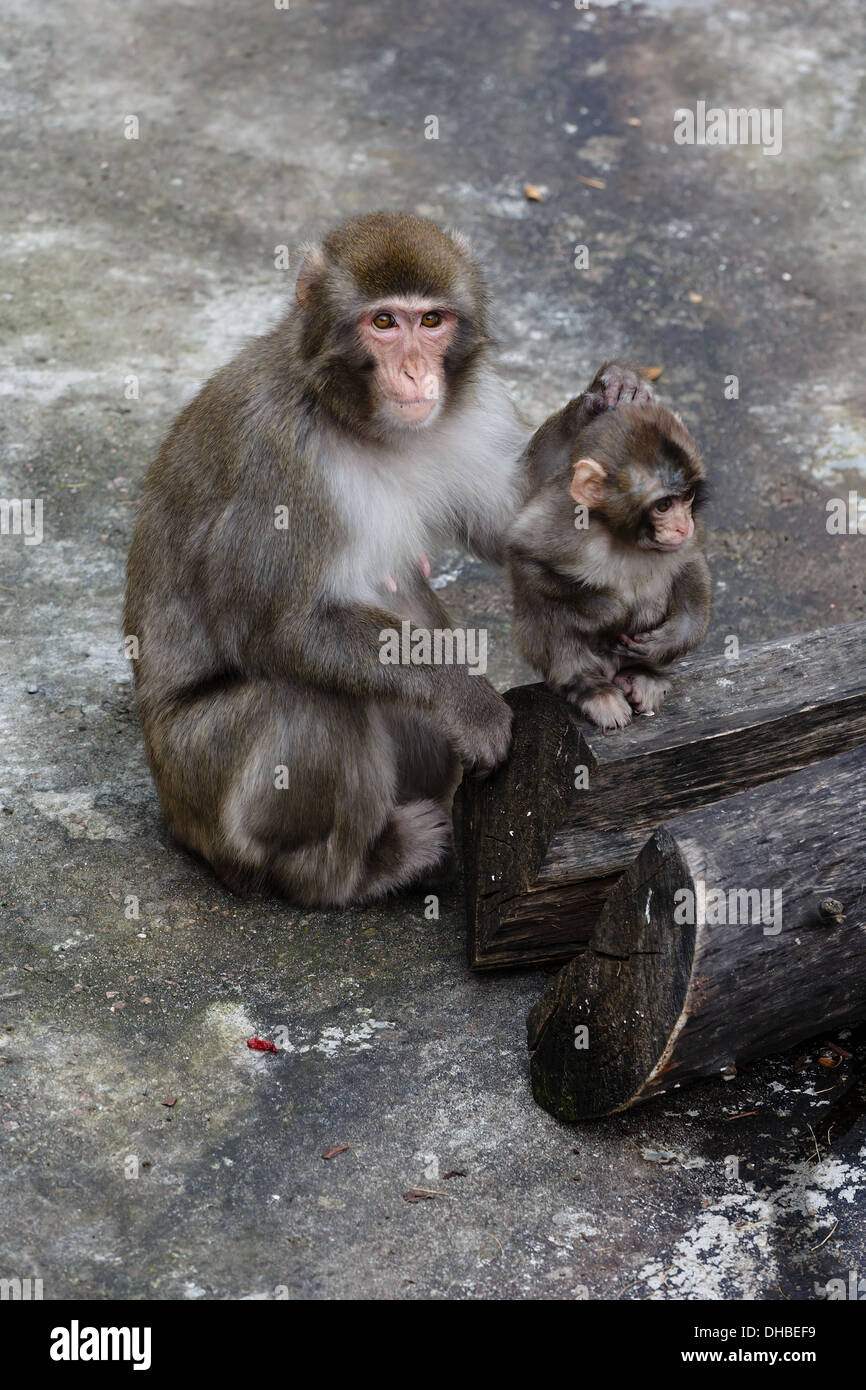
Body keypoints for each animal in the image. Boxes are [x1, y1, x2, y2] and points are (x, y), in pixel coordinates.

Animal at [125, 210, 654, 906]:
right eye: (382, 323)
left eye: (430, 321)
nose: (413, 373)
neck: (354, 421)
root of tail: (173, 810)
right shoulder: (279, 460)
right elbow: (276, 629)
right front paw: (469, 701)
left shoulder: (470, 411)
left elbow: (513, 521)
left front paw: (603, 396)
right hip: (204, 787)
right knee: (307, 699)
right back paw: (354, 871)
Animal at [507, 399, 711, 732]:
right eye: (663, 505)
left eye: (687, 496)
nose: (683, 526)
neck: (622, 536)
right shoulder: (561, 521)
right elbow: (526, 559)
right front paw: (612, 614)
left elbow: (689, 562)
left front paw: (665, 642)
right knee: (549, 611)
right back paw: (589, 687)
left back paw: (643, 675)